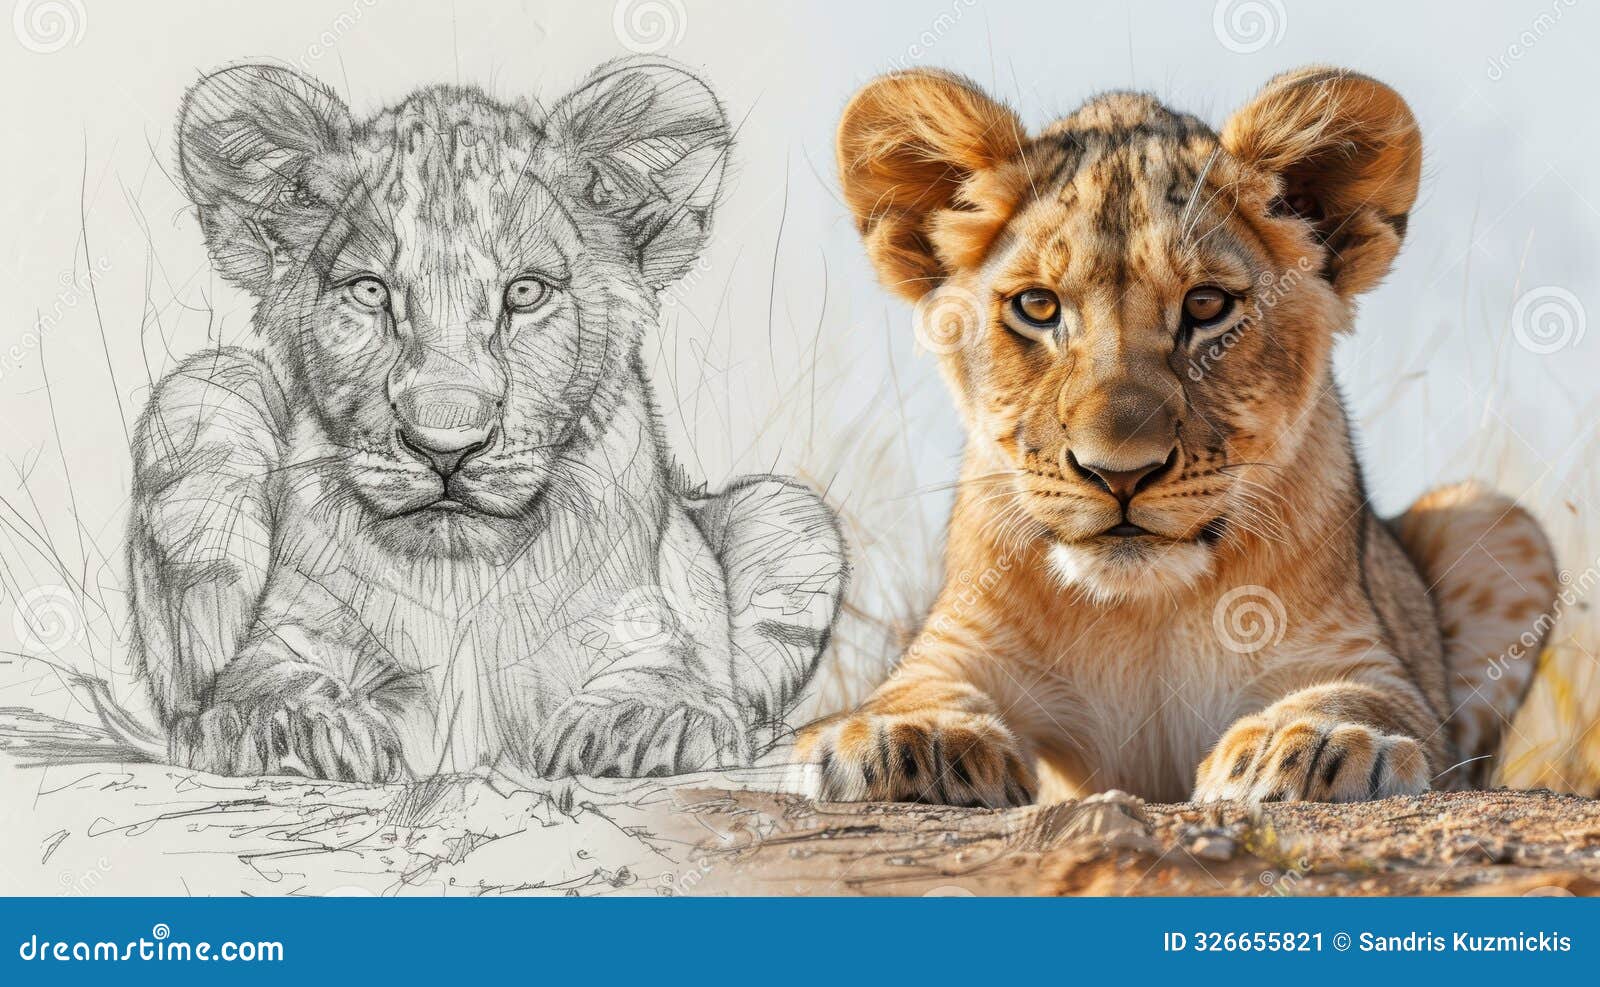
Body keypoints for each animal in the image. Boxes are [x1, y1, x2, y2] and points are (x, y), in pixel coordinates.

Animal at [122, 58, 845, 783]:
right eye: (370, 291)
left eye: (525, 292)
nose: (445, 447)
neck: (460, 575)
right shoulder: (286, 635)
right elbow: (267, 680)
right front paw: (290, 720)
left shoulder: (652, 626)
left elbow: (666, 679)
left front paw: (641, 721)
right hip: (203, 391)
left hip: (791, 514)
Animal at [800, 65, 1558, 806]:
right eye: (1038, 306)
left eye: (1206, 305)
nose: (1120, 473)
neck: (1144, 611)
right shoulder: (953, 646)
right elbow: (909, 691)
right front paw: (905, 736)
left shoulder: (1371, 662)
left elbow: (1363, 699)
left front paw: (1310, 740)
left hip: (1495, 516)